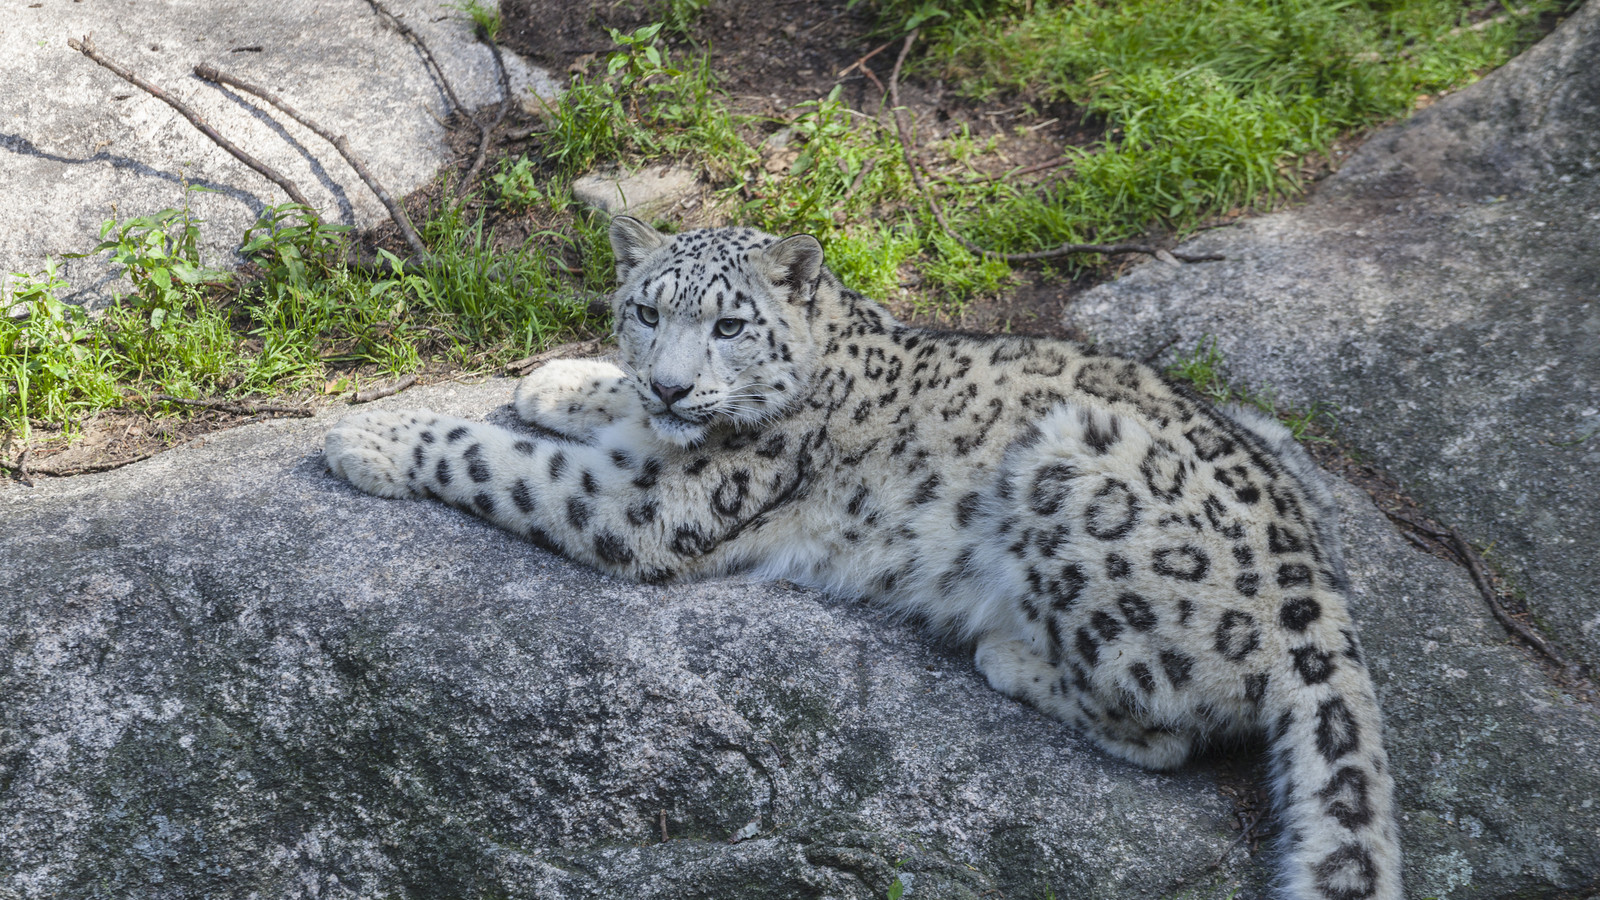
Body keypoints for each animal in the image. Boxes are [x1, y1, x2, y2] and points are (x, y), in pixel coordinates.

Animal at [324, 216, 1400, 900]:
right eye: (646, 310)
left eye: (729, 324)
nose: (672, 387)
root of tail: (1319, 592)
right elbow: (589, 413)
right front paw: (560, 379)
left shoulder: (647, 508)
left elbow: (499, 460)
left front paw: (369, 439)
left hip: (1073, 478)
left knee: (1163, 724)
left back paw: (1009, 652)